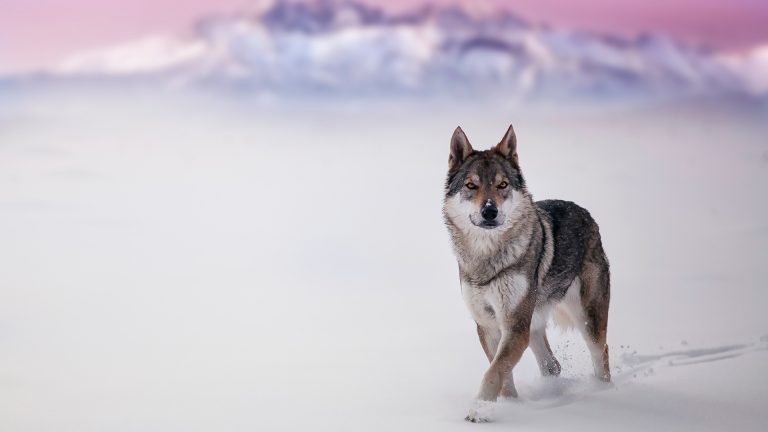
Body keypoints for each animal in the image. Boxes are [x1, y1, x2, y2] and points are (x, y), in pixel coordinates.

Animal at [442, 125, 611, 422]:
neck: (487, 258)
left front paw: (478, 411)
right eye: (471, 185)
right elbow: (502, 373)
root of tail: (586, 214)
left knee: (601, 353)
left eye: (502, 185)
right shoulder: (488, 326)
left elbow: (493, 372)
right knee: (553, 365)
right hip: (534, 326)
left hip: (585, 321)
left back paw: (605, 393)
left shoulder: (515, 326)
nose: (489, 211)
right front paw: (510, 406)